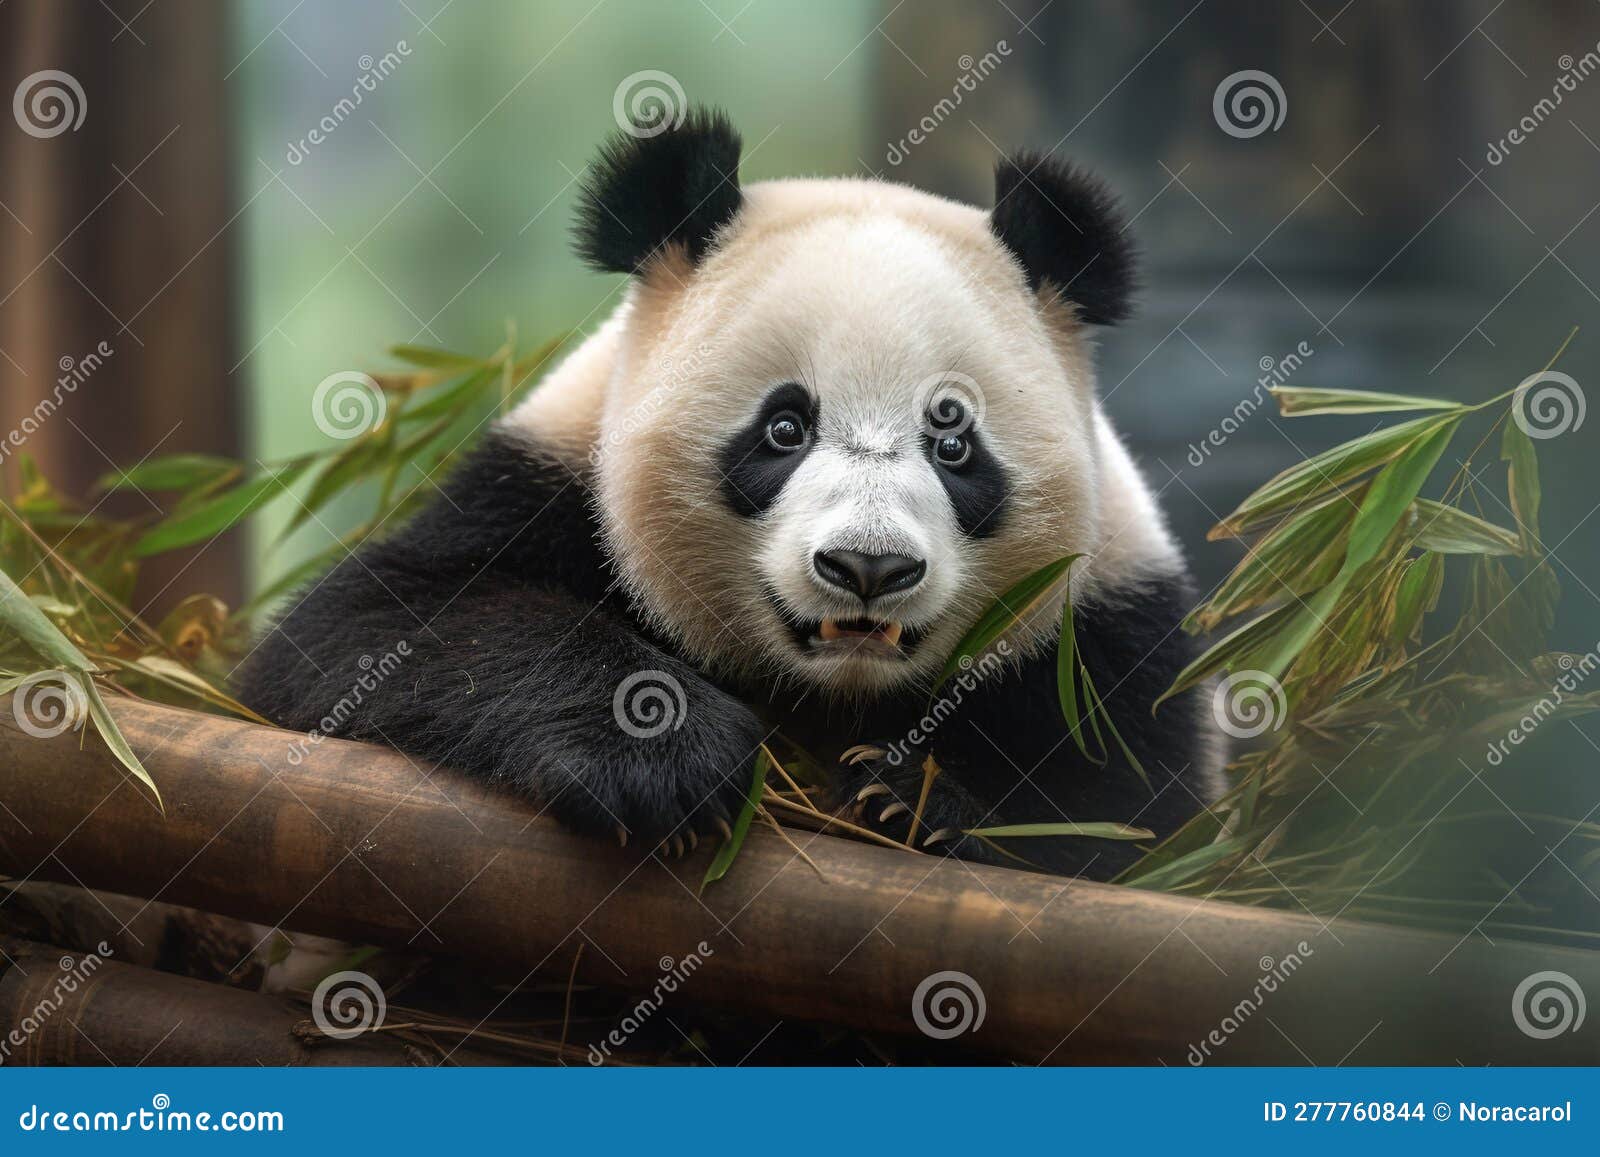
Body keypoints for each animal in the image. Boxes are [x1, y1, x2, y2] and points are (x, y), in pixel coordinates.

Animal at [238, 107, 1222, 879]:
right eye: (784, 429)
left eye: (953, 440)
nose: (867, 567)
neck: (837, 690)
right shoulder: (547, 482)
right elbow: (382, 627)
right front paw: (661, 754)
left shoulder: (1112, 606)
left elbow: (1139, 807)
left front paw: (919, 798)